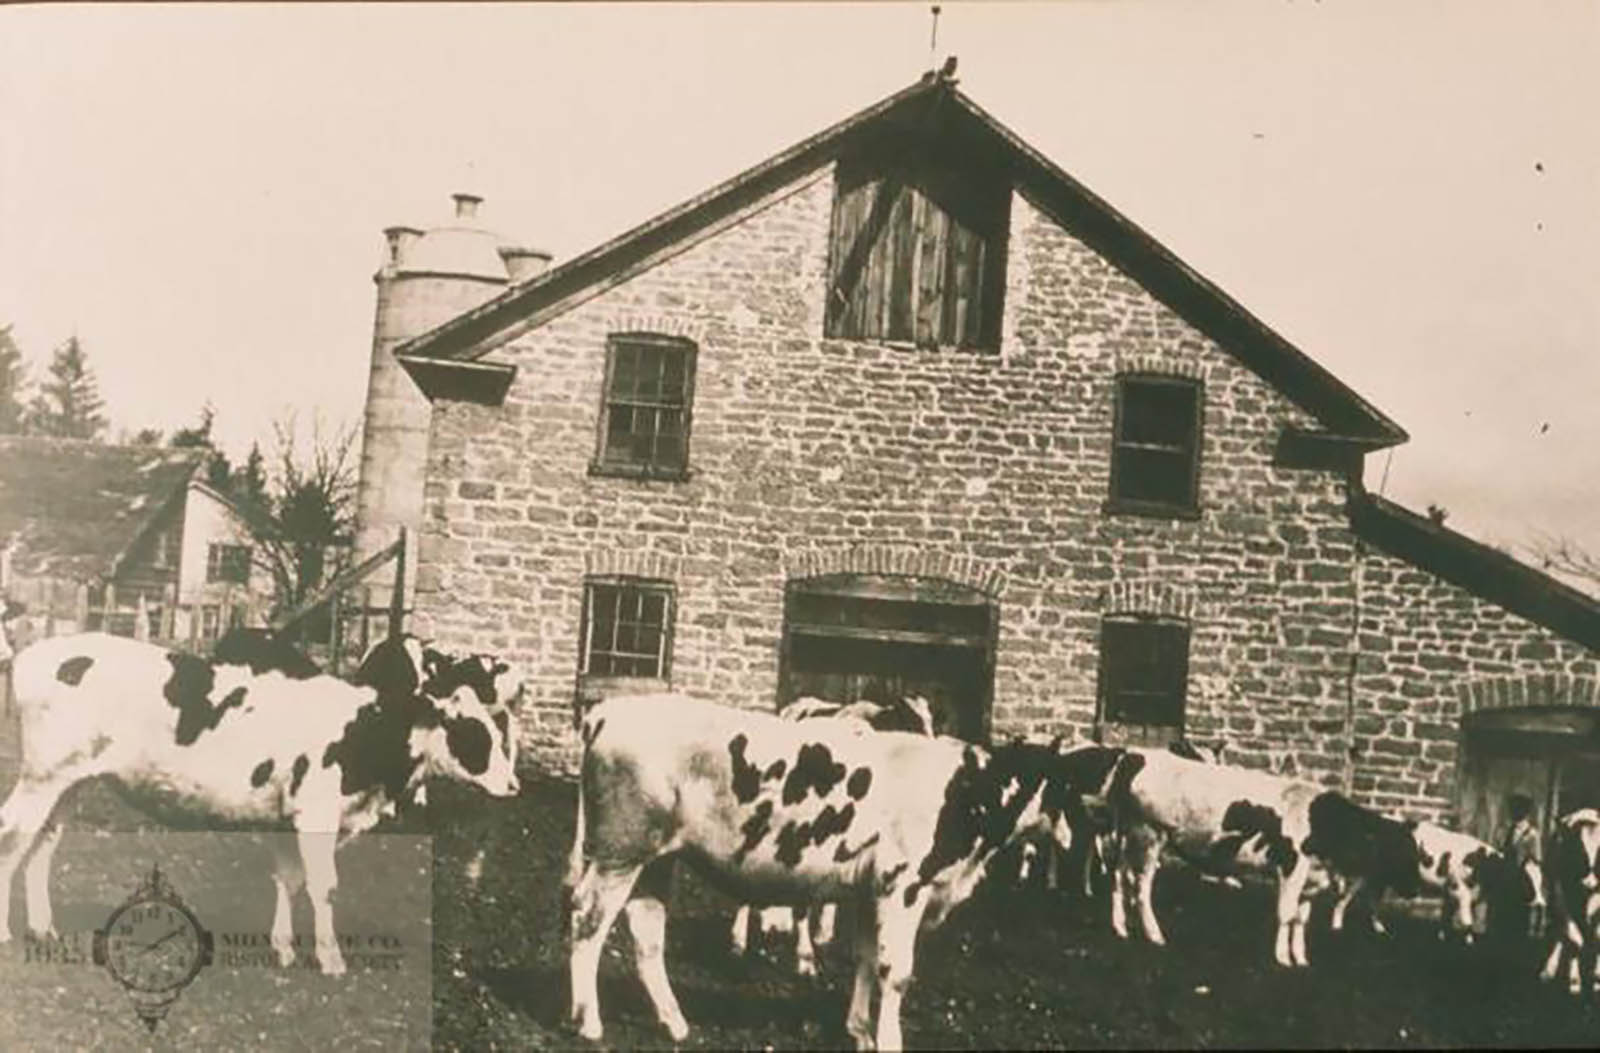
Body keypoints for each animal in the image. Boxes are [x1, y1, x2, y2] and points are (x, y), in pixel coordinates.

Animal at [0, 627, 521, 972]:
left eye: (496, 726)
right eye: (468, 729)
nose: (513, 785)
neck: (364, 732)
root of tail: (39, 652)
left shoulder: (288, 819)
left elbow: (289, 880)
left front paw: (283, 948)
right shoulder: (316, 814)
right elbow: (324, 885)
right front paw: (330, 959)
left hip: (70, 781)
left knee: (43, 845)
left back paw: (44, 928)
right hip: (42, 777)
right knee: (12, 837)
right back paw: (8, 933)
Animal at [560, 694, 1088, 1043]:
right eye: (1063, 787)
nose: (1075, 836)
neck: (962, 791)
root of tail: (609, 709)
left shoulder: (871, 890)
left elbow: (865, 959)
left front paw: (859, 1032)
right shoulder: (903, 887)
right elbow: (896, 971)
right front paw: (888, 1040)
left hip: (656, 857)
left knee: (646, 933)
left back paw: (675, 1023)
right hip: (620, 852)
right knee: (588, 921)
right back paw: (588, 1022)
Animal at [1536, 803, 1600, 992]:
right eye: (1577, 848)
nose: (1588, 882)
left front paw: (1597, 979)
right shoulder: (1561, 896)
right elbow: (1574, 941)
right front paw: (1574, 982)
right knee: (1562, 934)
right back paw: (1548, 971)